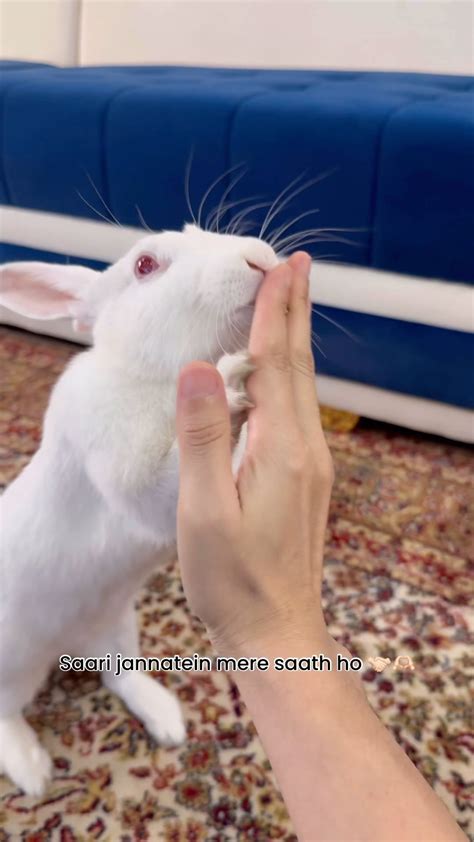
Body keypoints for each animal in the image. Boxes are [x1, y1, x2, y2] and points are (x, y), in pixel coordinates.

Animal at [0, 224, 278, 796]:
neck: (150, 377)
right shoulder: (134, 479)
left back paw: (168, 721)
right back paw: (34, 771)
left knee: (117, 674)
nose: (258, 259)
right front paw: (230, 383)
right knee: (5, 714)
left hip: (117, 625)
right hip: (12, 667)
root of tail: (68, 645)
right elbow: (164, 478)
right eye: (145, 265)